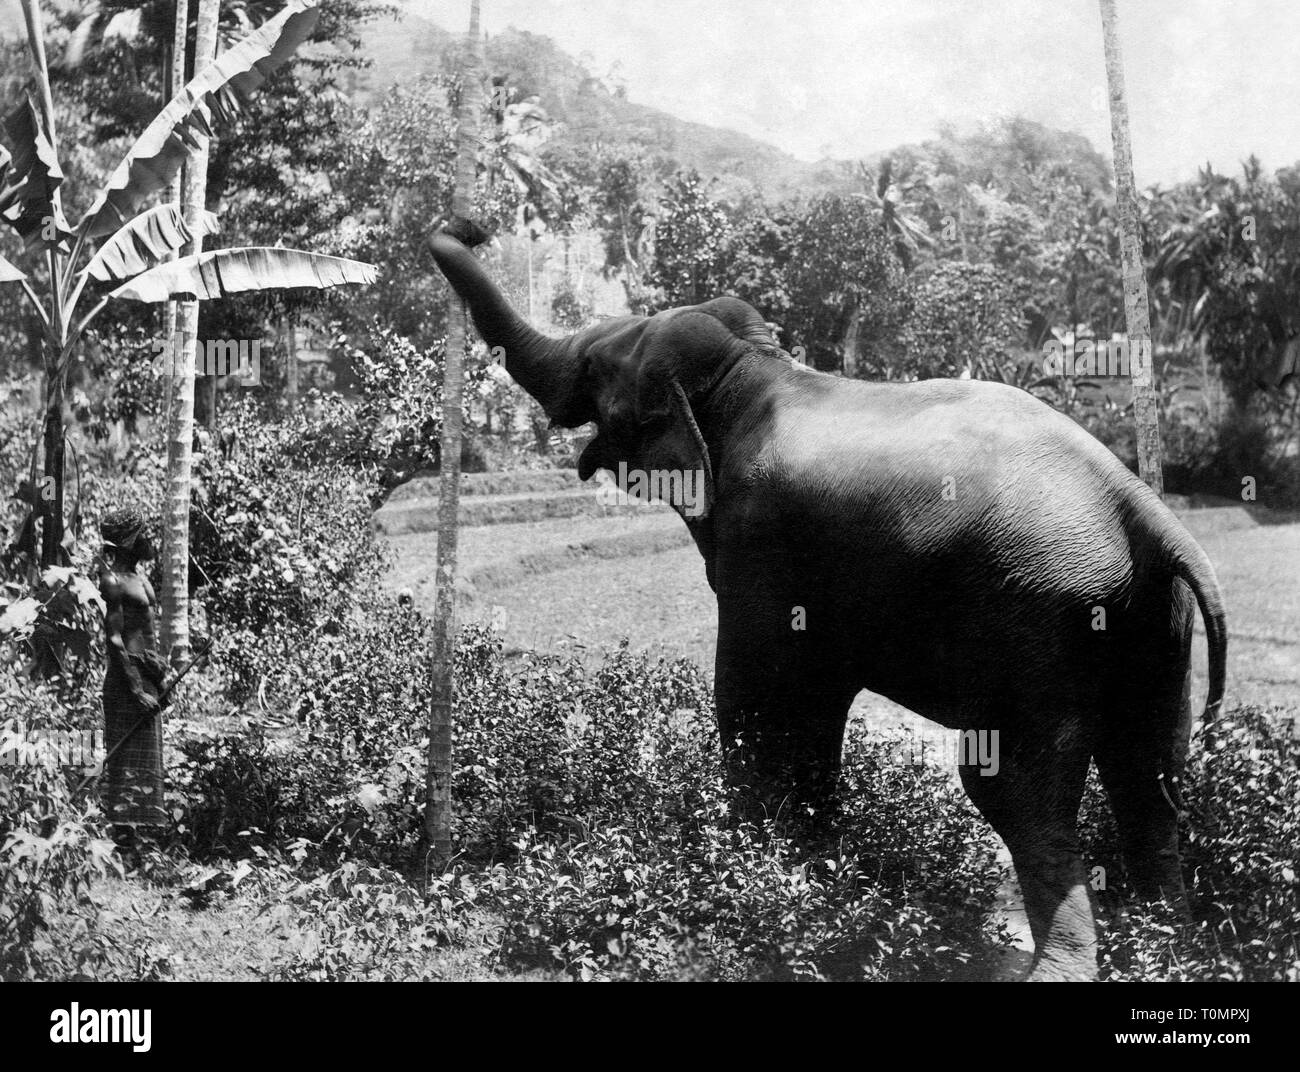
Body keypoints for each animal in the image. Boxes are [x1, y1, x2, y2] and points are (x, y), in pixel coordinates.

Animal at [426, 222, 1227, 981]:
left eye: (594, 368)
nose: (472, 225)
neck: (750, 368)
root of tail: (1136, 502)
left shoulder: (760, 542)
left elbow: (752, 697)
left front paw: (753, 879)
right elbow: (812, 706)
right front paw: (818, 881)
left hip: (1041, 615)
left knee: (1015, 788)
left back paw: (1060, 968)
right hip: (1150, 621)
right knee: (1149, 773)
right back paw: (1170, 950)